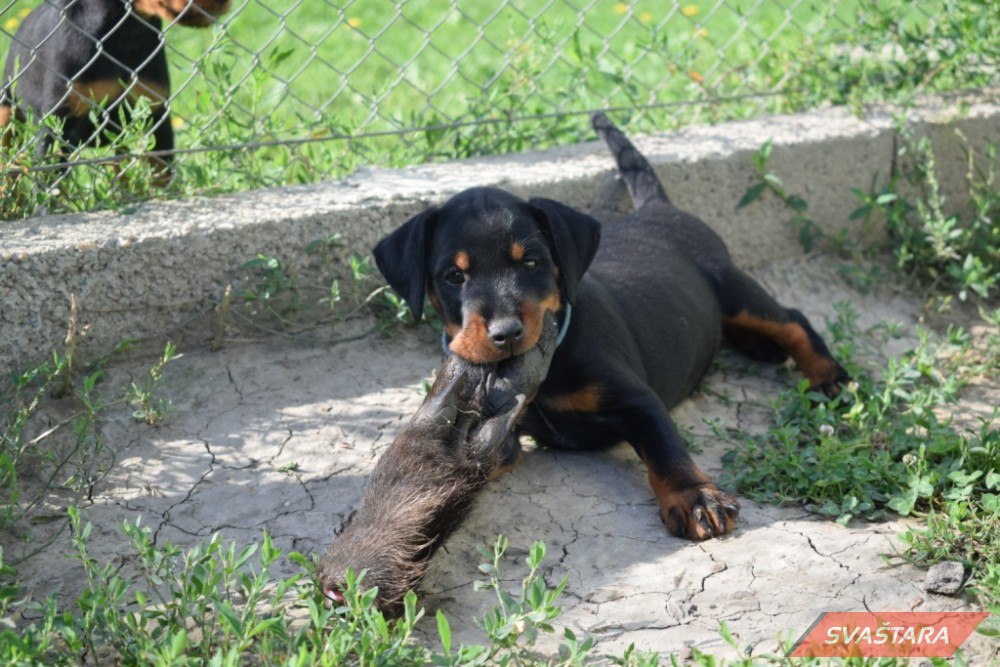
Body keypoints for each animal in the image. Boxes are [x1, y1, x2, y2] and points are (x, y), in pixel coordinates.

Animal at [0, 0, 229, 176]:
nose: (222, 3)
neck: (126, 31)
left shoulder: (153, 115)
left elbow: (159, 173)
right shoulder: (60, 124)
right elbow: (51, 183)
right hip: (7, 109)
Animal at [372, 113, 848, 544]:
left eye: (532, 262)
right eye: (454, 276)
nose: (505, 334)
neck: (554, 356)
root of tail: (660, 207)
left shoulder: (638, 400)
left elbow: (664, 447)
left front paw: (694, 498)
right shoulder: (498, 437)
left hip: (733, 287)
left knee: (793, 319)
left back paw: (828, 377)